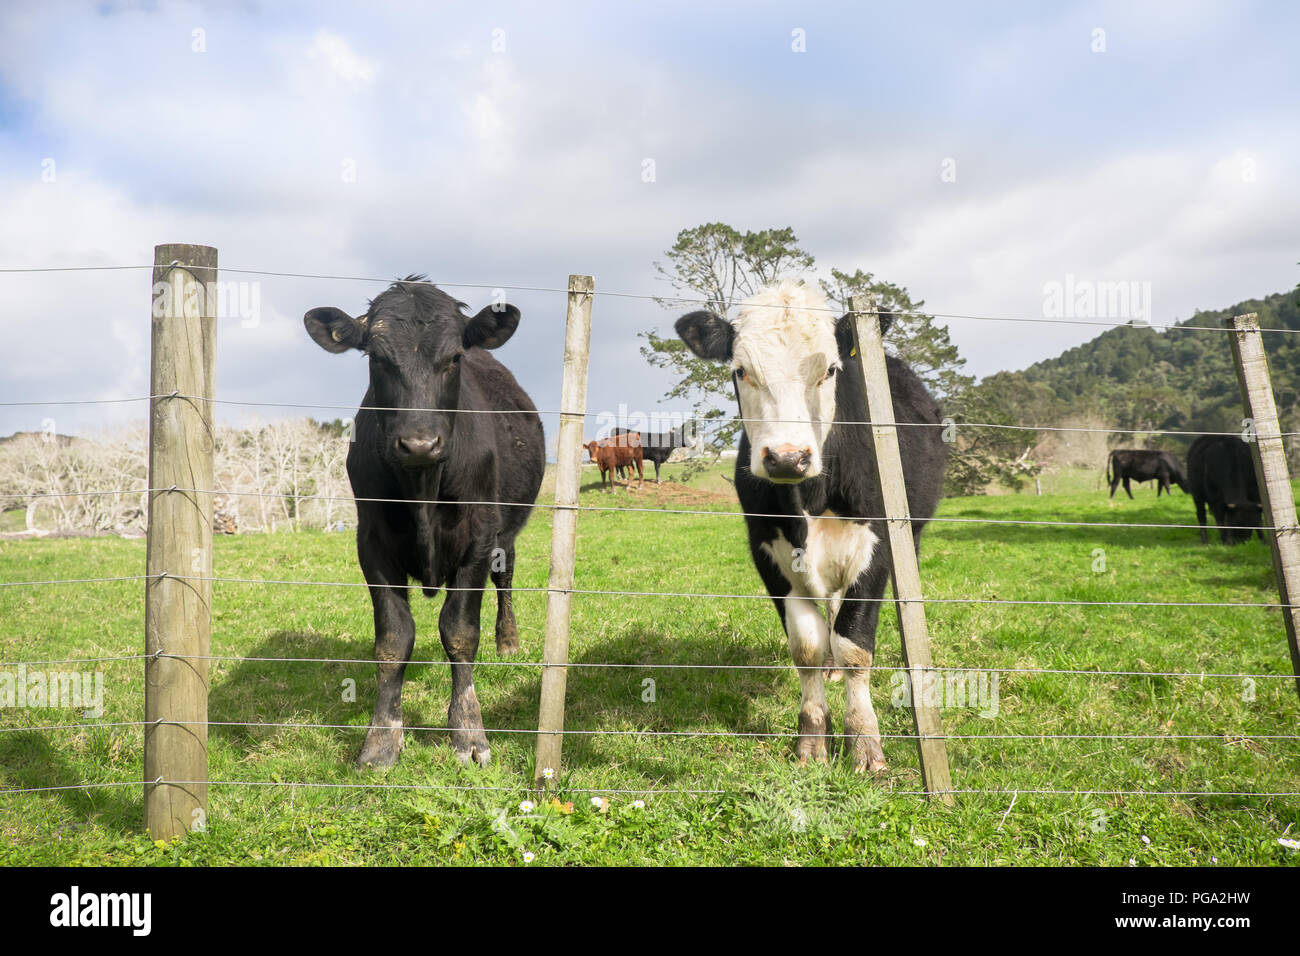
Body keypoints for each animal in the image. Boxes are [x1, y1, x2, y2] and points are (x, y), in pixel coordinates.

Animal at [303, 277, 544, 767]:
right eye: (377, 358)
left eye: (454, 358)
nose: (419, 444)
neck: (422, 491)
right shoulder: (371, 544)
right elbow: (394, 640)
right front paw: (381, 739)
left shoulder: (478, 539)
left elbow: (460, 633)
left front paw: (469, 733)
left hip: (504, 533)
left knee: (506, 577)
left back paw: (508, 640)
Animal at [675, 280, 946, 773]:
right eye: (740, 371)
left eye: (830, 370)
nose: (786, 457)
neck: (810, 500)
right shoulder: (767, 553)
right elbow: (805, 647)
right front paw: (812, 740)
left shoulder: (877, 546)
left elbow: (855, 645)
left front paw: (865, 744)